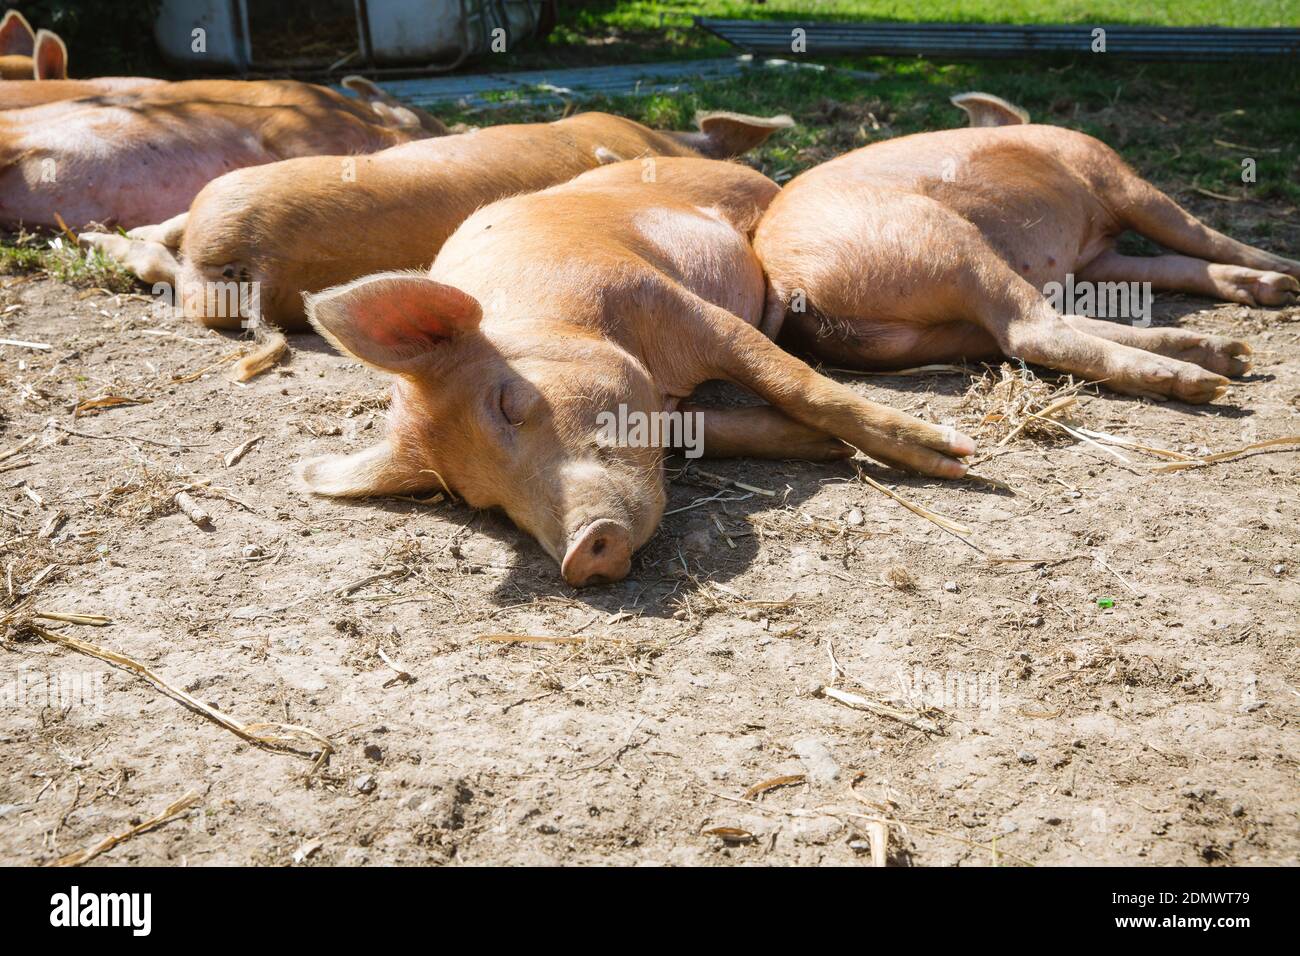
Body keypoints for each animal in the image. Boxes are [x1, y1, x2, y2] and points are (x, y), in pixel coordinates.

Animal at [297, 158, 975, 587]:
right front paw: (825, 449)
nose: (582, 554)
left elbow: (791, 380)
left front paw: (955, 457)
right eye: (484, 503)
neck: (556, 313)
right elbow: (708, 431)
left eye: (509, 404)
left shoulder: (671, 300)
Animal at [753, 93, 1300, 404]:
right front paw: (1290, 274)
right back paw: (1207, 382)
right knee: (1031, 332)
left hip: (914, 336)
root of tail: (784, 279)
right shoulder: (1115, 178)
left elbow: (1174, 263)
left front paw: (1278, 285)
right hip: (944, 243)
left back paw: (1233, 356)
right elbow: (1198, 234)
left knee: (1027, 330)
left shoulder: (1095, 259)